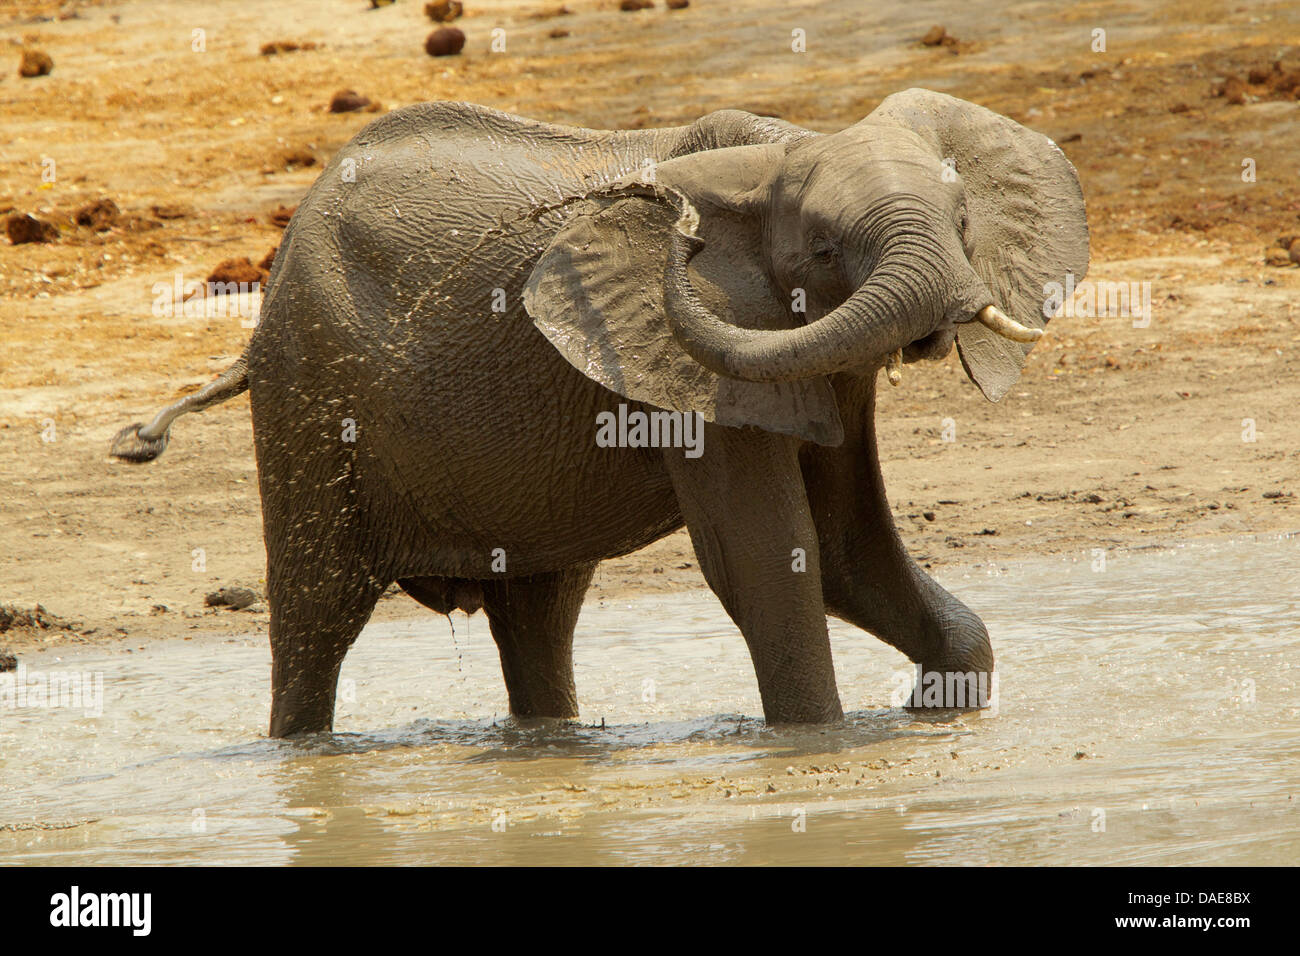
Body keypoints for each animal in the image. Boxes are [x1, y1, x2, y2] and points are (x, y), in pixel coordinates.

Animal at [110, 90, 1089, 737]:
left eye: (965, 219)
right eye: (821, 247)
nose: (675, 226)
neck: (781, 147)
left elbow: (848, 552)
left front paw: (934, 712)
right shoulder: (689, 356)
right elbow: (767, 561)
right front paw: (819, 743)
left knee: (538, 620)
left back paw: (549, 745)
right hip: (310, 395)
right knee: (317, 618)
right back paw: (303, 752)